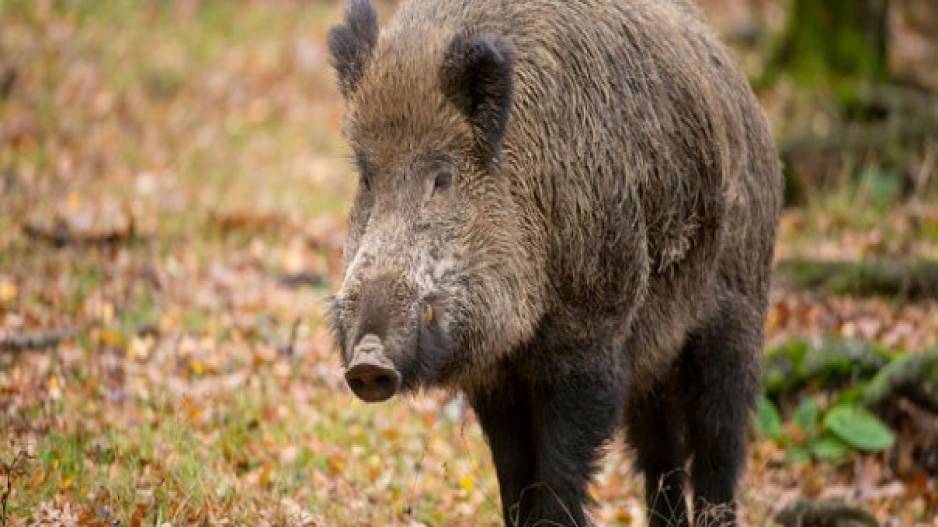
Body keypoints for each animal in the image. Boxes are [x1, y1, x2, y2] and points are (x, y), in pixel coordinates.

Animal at [327, 0, 783, 525]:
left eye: (442, 178)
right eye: (366, 177)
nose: (368, 361)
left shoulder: (592, 331)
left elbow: (562, 468)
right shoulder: (496, 377)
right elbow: (514, 474)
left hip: (738, 311)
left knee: (719, 439)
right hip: (654, 356)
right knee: (659, 451)